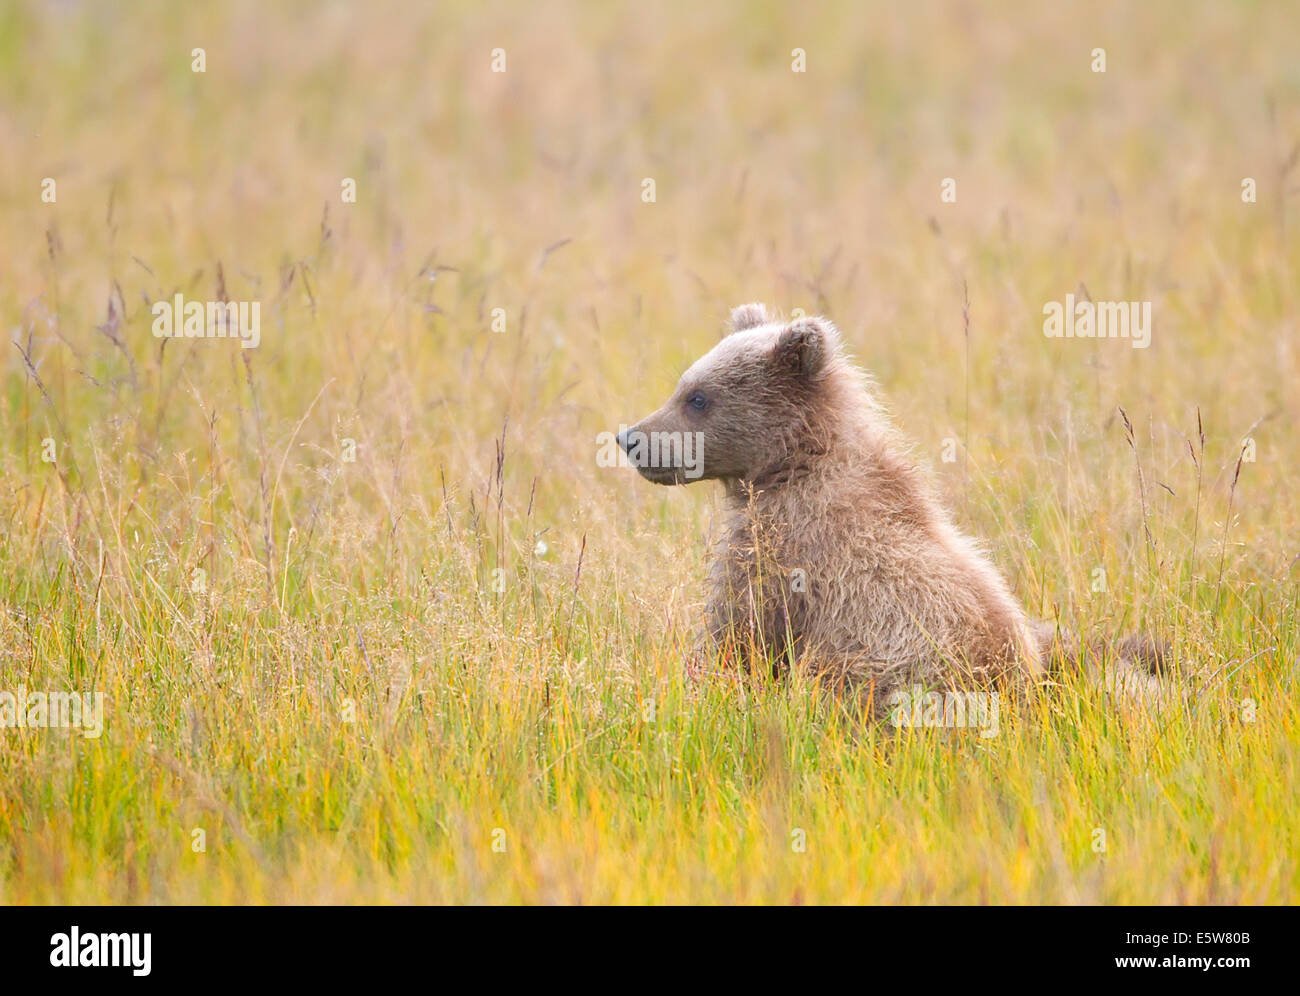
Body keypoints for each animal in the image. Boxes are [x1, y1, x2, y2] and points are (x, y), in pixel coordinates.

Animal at [618, 302, 1165, 718]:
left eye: (698, 397)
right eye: (683, 385)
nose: (631, 438)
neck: (788, 466)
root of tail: (1021, 697)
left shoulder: (783, 550)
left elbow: (737, 634)